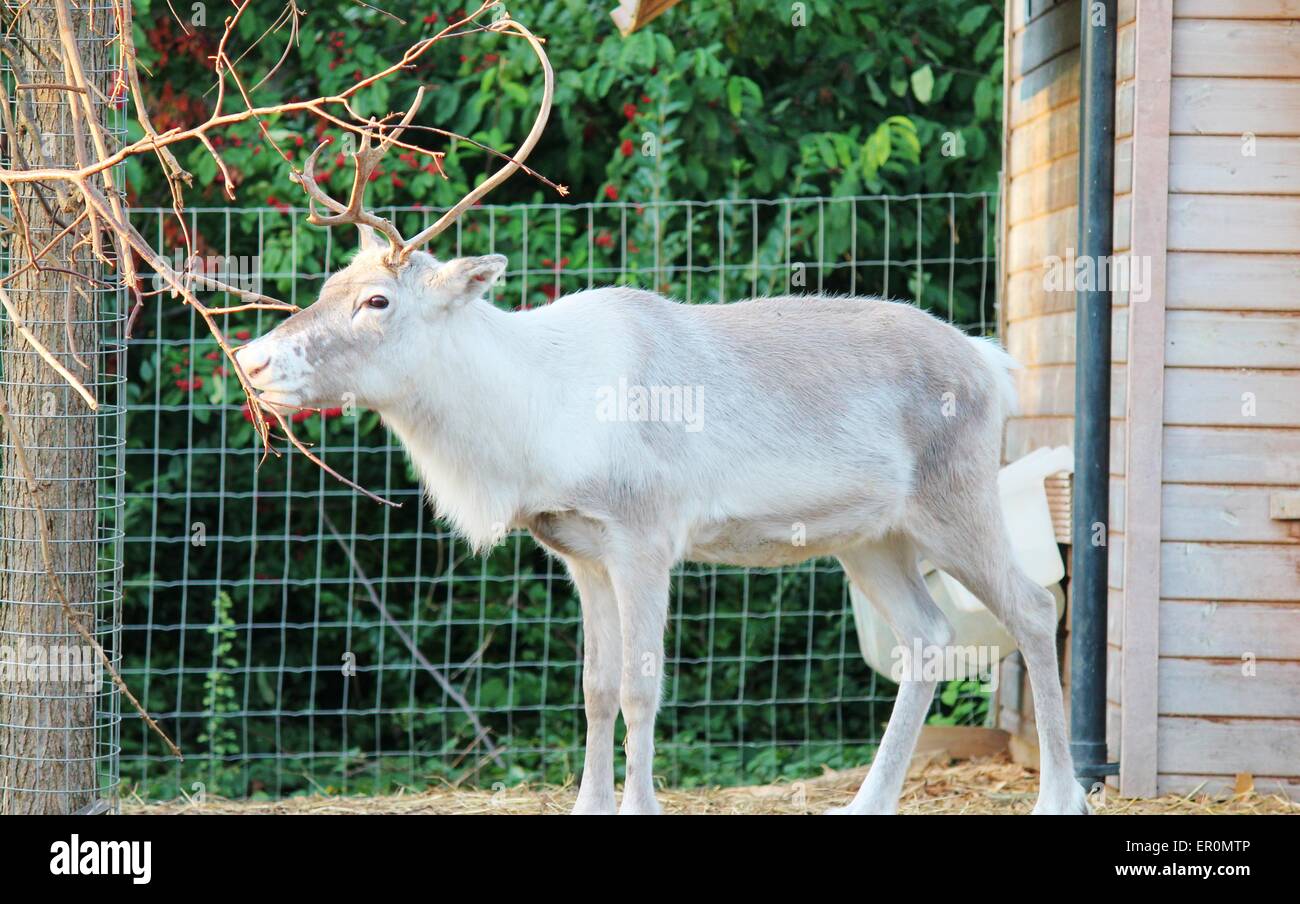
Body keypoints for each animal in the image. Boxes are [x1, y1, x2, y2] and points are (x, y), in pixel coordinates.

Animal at [234, 16, 1089, 816]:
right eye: (329, 283)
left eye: (377, 300)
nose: (251, 360)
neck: (532, 422)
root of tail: (992, 363)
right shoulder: (578, 550)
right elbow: (593, 688)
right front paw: (587, 804)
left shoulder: (645, 534)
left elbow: (642, 690)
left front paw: (638, 803)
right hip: (872, 535)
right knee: (927, 635)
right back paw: (866, 800)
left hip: (956, 497)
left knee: (1033, 607)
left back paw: (1061, 793)